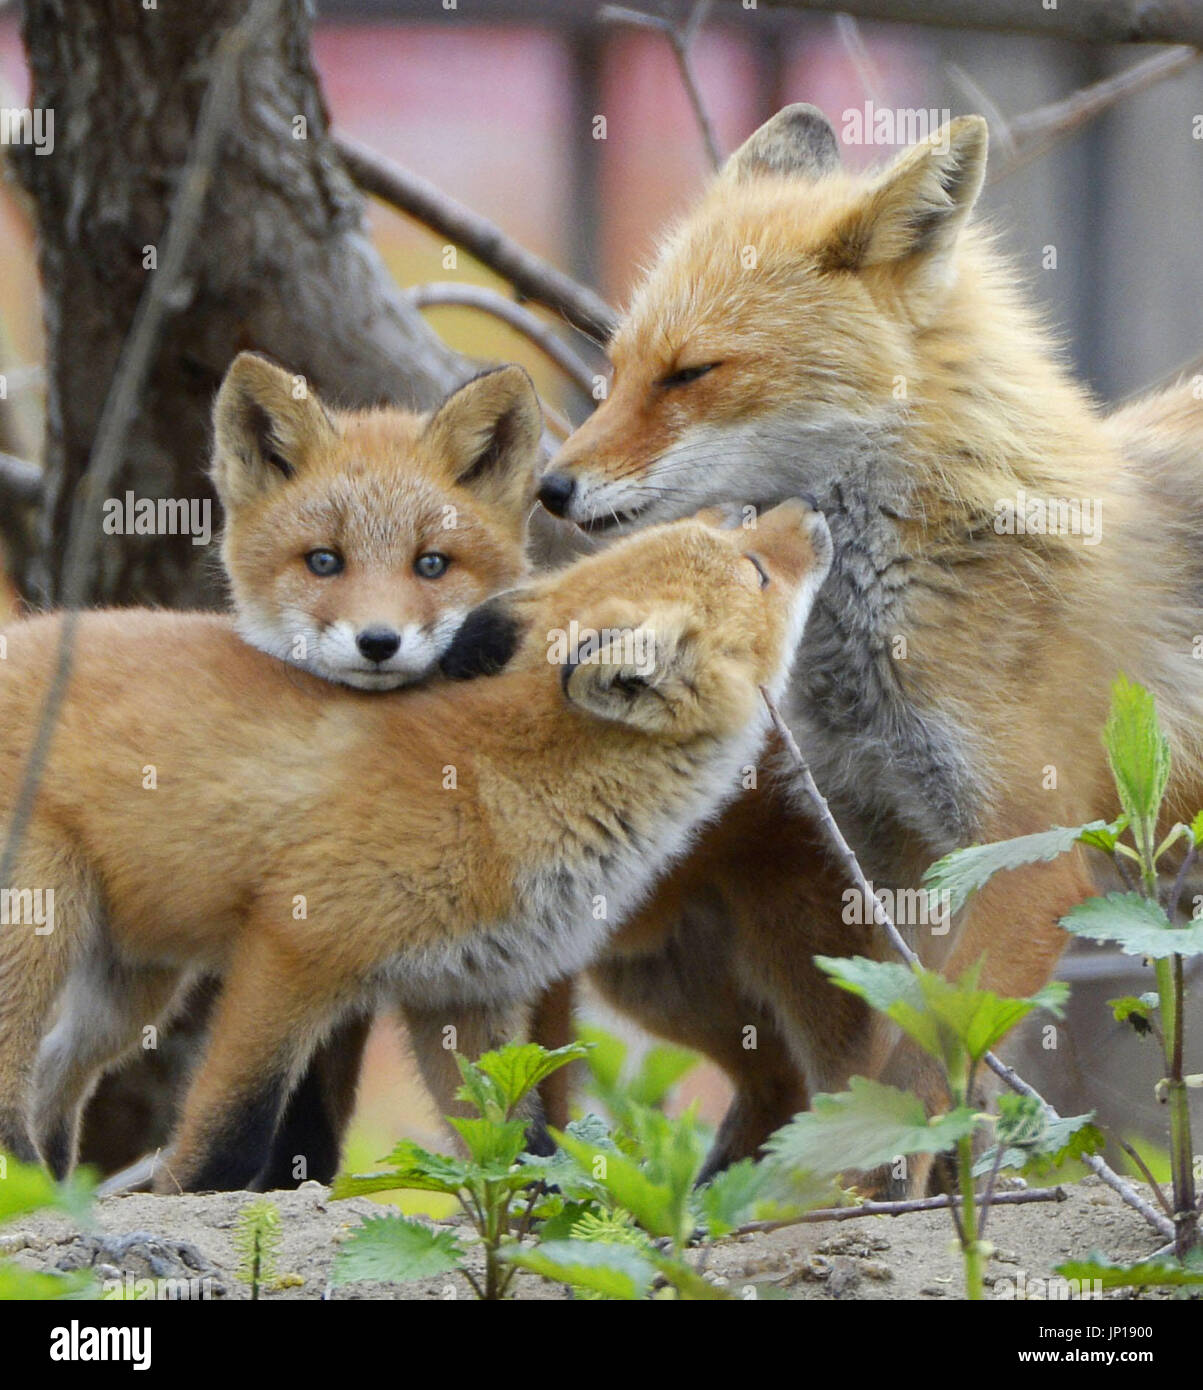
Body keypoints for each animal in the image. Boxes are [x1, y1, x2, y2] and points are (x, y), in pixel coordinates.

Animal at [0, 498, 831, 1190]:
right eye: (756, 569)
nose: (807, 507)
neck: (501, 791)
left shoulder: (464, 996)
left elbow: (520, 1152)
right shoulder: (293, 951)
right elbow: (230, 1133)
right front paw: (196, 1196)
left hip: (129, 981)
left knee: (59, 1071)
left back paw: (51, 1193)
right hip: (40, 923)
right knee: (15, 1076)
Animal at [535, 104, 1203, 1182]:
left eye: (690, 373)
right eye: (618, 373)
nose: (551, 488)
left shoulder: (1029, 856)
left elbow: (926, 1072)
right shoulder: (881, 847)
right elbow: (867, 1069)